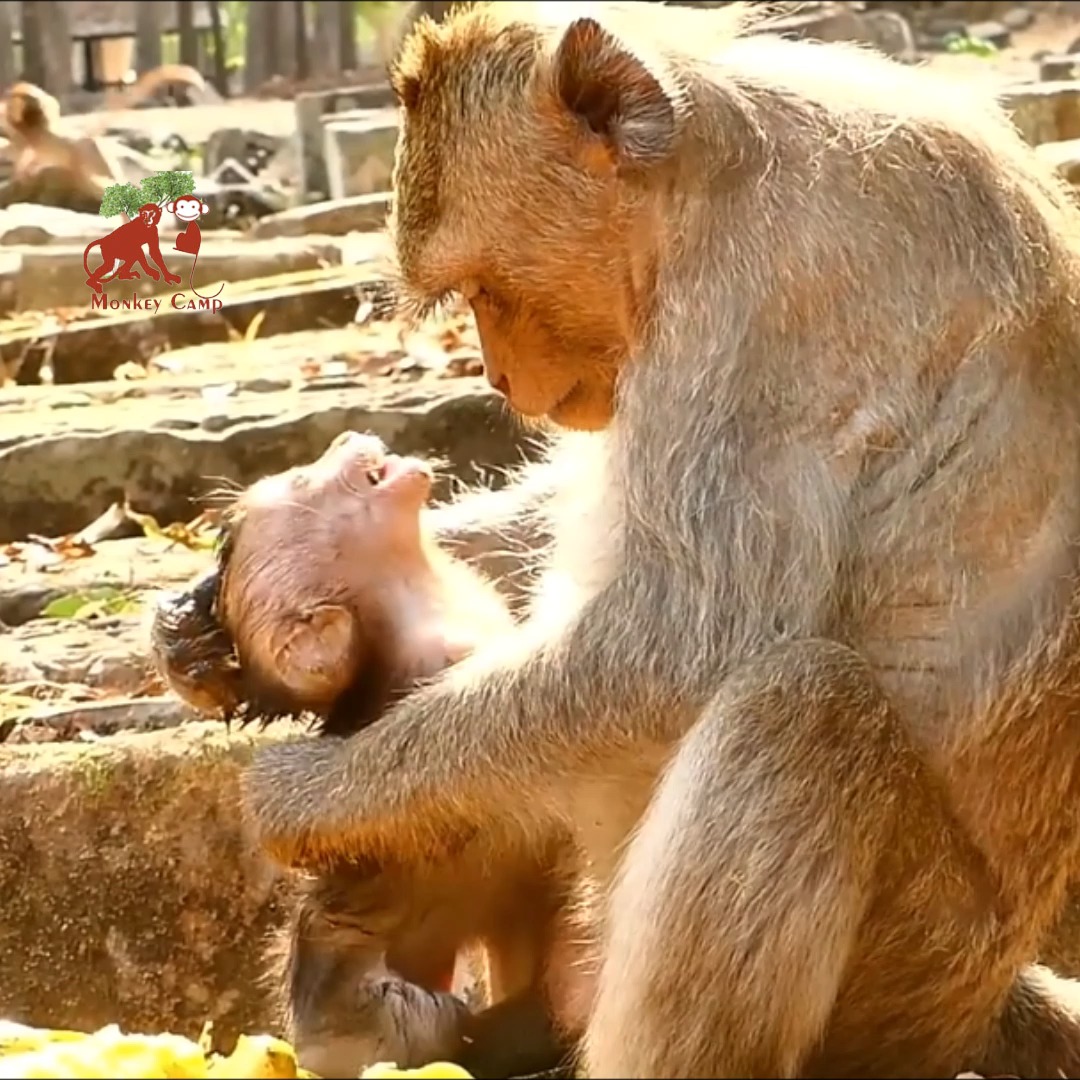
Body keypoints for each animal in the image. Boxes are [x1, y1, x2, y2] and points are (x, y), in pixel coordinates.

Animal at [223, 1, 1080, 1076]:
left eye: (486, 291)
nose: (497, 377)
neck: (705, 176)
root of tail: (966, 1007)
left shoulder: (761, 306)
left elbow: (685, 640)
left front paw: (315, 793)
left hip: (910, 962)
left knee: (804, 708)